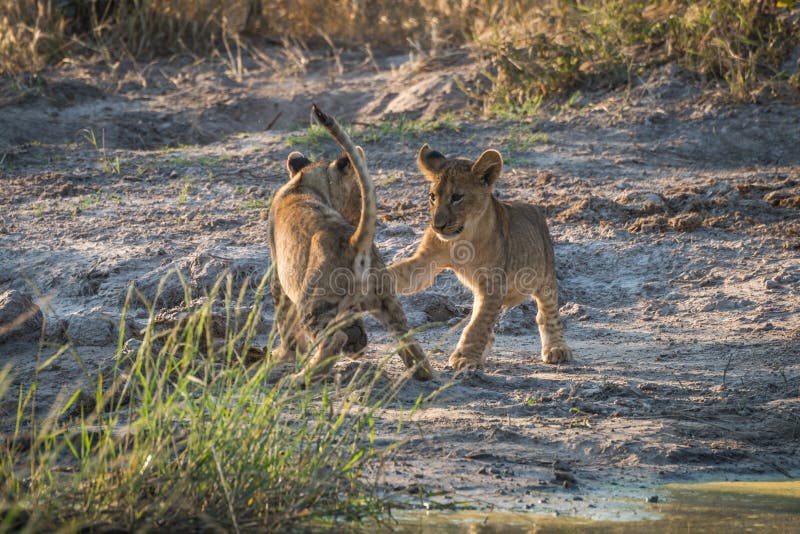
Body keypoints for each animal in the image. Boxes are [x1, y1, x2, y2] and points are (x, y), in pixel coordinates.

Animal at [267, 105, 433, 383]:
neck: (304, 183)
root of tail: (354, 241)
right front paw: (358, 344)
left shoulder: (278, 275)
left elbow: (285, 323)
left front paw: (283, 356)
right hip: (386, 301)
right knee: (409, 341)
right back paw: (420, 373)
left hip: (312, 302)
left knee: (333, 339)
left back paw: (303, 377)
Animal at [388, 143, 572, 371]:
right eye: (432, 197)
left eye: (457, 197)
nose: (437, 226)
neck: (461, 239)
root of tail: (531, 206)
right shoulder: (426, 261)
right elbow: (403, 274)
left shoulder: (492, 282)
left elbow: (478, 322)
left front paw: (465, 358)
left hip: (544, 274)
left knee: (547, 312)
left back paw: (556, 348)